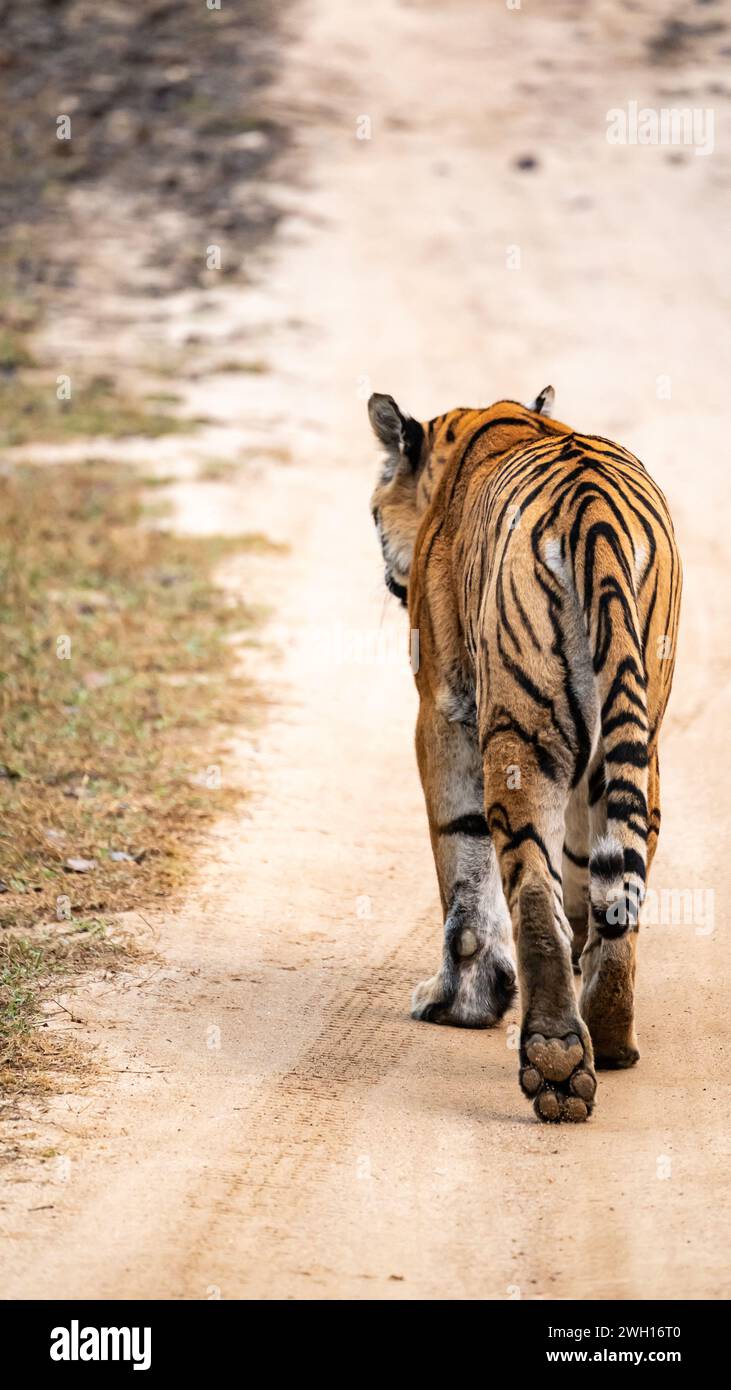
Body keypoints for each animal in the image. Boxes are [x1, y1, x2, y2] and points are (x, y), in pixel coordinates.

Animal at [368, 386, 681, 1123]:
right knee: (617, 879)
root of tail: (593, 512)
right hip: (636, 729)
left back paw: (556, 1061)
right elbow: (582, 869)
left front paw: (460, 1003)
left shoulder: (441, 714)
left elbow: (461, 865)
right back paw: (607, 1032)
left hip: (518, 733)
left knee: (532, 886)